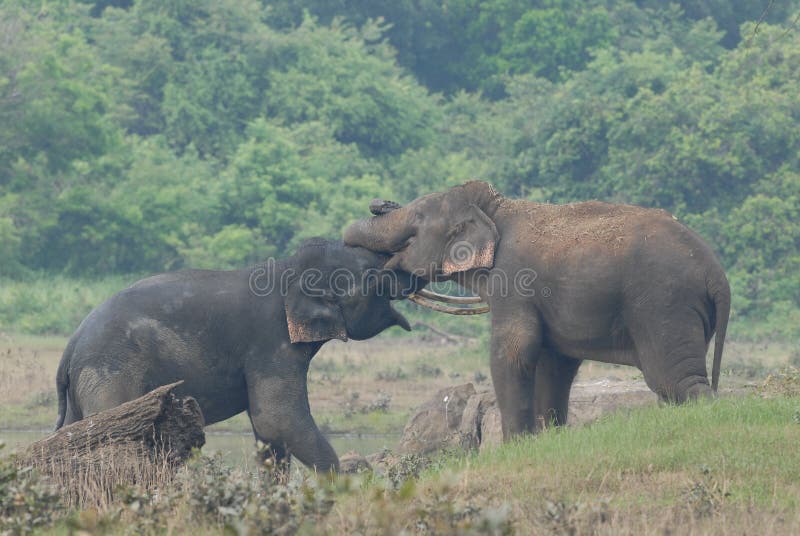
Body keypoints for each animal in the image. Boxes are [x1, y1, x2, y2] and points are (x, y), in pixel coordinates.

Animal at [54, 238, 413, 472]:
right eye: (372, 273)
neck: (289, 267)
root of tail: (71, 347)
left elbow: (269, 434)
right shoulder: (270, 341)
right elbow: (278, 419)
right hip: (111, 374)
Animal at [344, 180, 731, 440]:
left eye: (418, 219)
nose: (379, 202)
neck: (496, 208)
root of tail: (717, 275)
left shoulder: (514, 282)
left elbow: (514, 352)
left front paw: (514, 446)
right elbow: (553, 363)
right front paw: (548, 439)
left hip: (665, 305)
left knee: (675, 381)